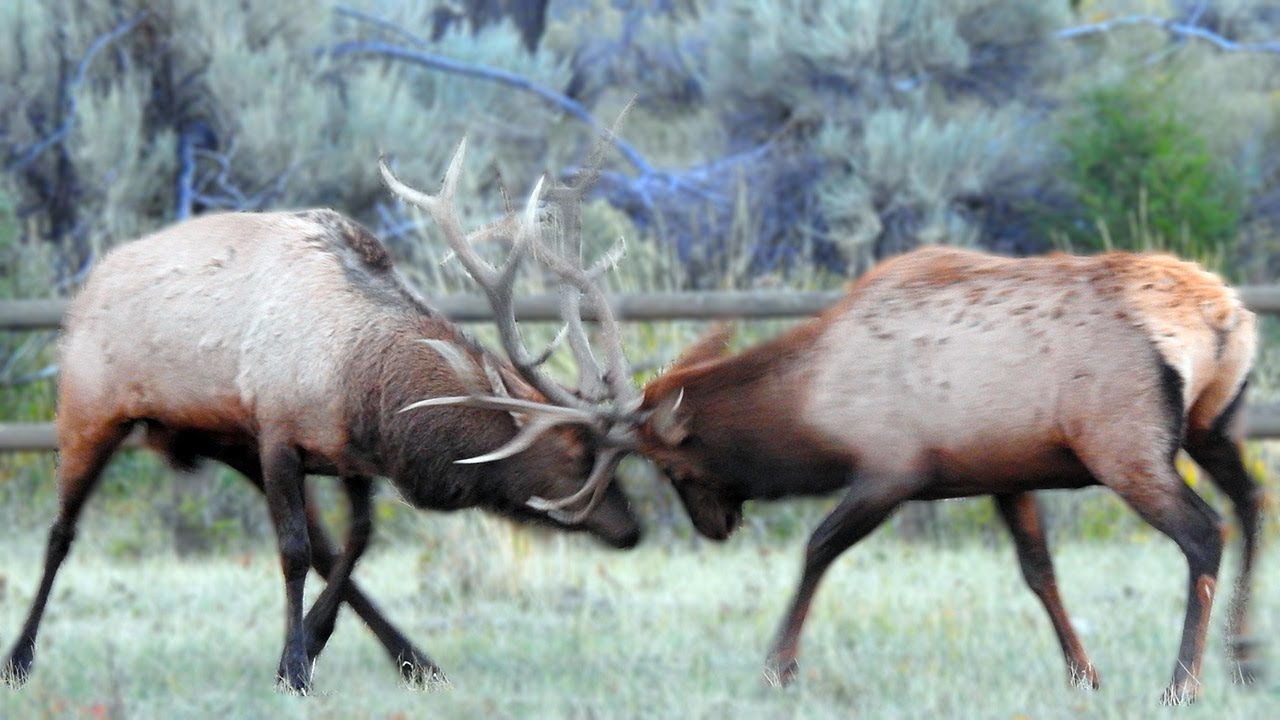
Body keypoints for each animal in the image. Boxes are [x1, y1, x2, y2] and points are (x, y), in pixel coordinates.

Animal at [1, 137, 643, 694]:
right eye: (573, 450)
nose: (631, 528)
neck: (363, 380)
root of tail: (86, 287)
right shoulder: (279, 436)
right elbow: (293, 552)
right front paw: (296, 667)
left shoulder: (347, 456)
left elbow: (353, 542)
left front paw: (308, 646)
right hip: (89, 410)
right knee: (61, 532)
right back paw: (20, 657)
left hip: (230, 446)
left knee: (326, 545)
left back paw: (415, 659)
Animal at [632, 245, 1263, 705]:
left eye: (672, 466)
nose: (712, 527)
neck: (812, 403)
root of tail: (1224, 317)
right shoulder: (1007, 474)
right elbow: (1040, 573)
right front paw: (1084, 675)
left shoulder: (890, 472)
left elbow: (817, 547)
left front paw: (777, 669)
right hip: (1212, 427)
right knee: (1253, 503)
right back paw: (1244, 659)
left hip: (1126, 450)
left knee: (1205, 530)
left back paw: (1183, 683)